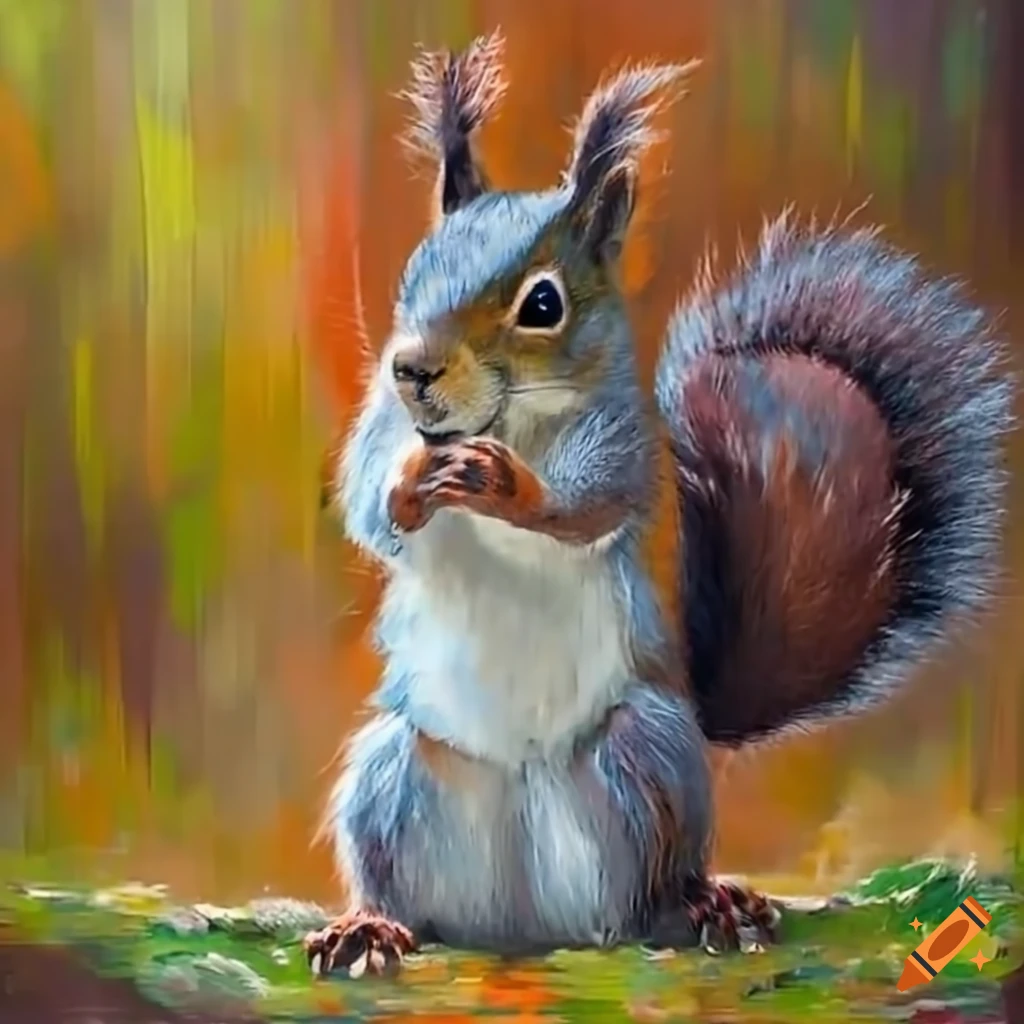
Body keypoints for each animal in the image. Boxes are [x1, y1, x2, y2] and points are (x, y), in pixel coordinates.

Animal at [305, 30, 1015, 977]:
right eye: (411, 275)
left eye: (542, 303)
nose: (413, 368)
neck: (506, 419)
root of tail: (528, 920)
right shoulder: (383, 427)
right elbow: (366, 502)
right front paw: (413, 485)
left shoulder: (621, 442)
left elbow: (585, 502)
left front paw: (504, 483)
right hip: (395, 777)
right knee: (403, 882)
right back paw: (371, 924)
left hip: (644, 762)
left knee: (648, 896)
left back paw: (702, 902)